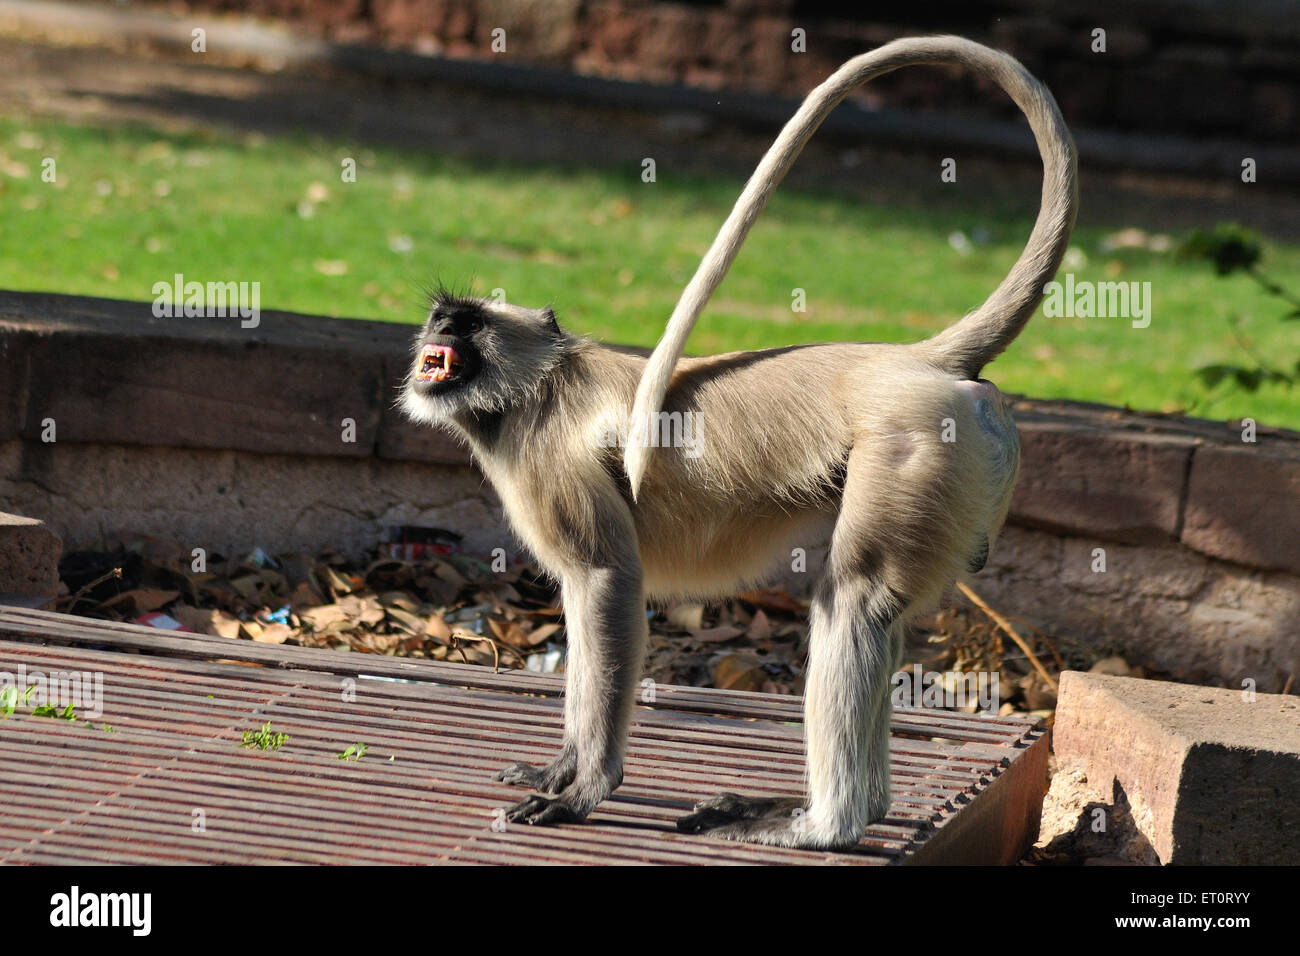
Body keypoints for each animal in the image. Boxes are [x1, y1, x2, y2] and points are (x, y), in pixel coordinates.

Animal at [401, 35, 1077, 850]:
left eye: (468, 323)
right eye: (442, 316)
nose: (440, 328)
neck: (536, 386)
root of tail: (917, 360)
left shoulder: (550, 458)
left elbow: (605, 580)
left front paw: (588, 788)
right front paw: (558, 768)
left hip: (916, 446)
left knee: (855, 599)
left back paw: (828, 826)